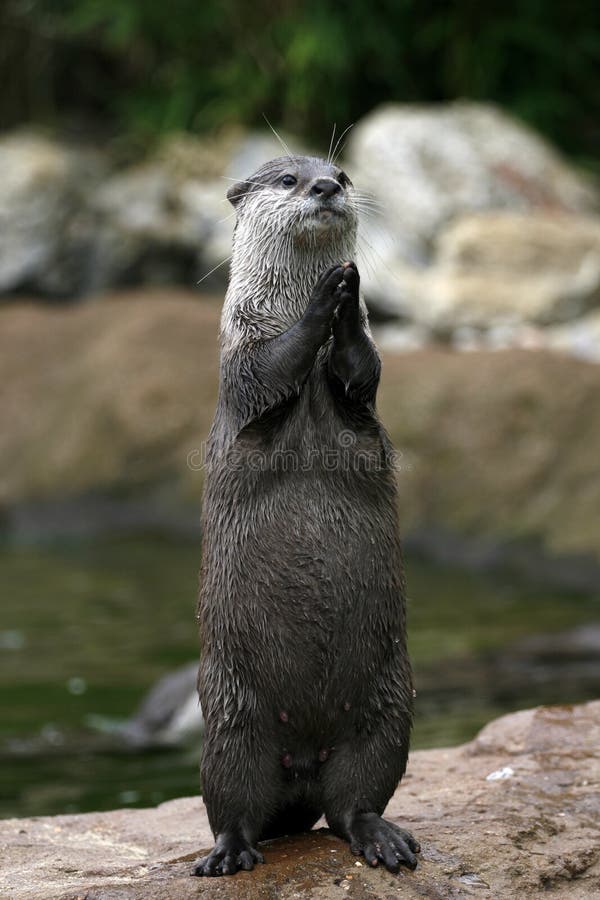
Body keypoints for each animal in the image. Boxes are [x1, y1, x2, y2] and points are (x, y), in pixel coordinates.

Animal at [193, 155, 418, 877]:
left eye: (339, 172)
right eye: (288, 179)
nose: (326, 187)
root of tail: (303, 765)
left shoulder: (362, 389)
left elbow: (361, 368)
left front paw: (349, 294)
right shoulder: (241, 364)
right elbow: (274, 365)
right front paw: (327, 297)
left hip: (387, 709)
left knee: (356, 797)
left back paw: (380, 837)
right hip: (230, 721)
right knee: (232, 801)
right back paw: (228, 852)